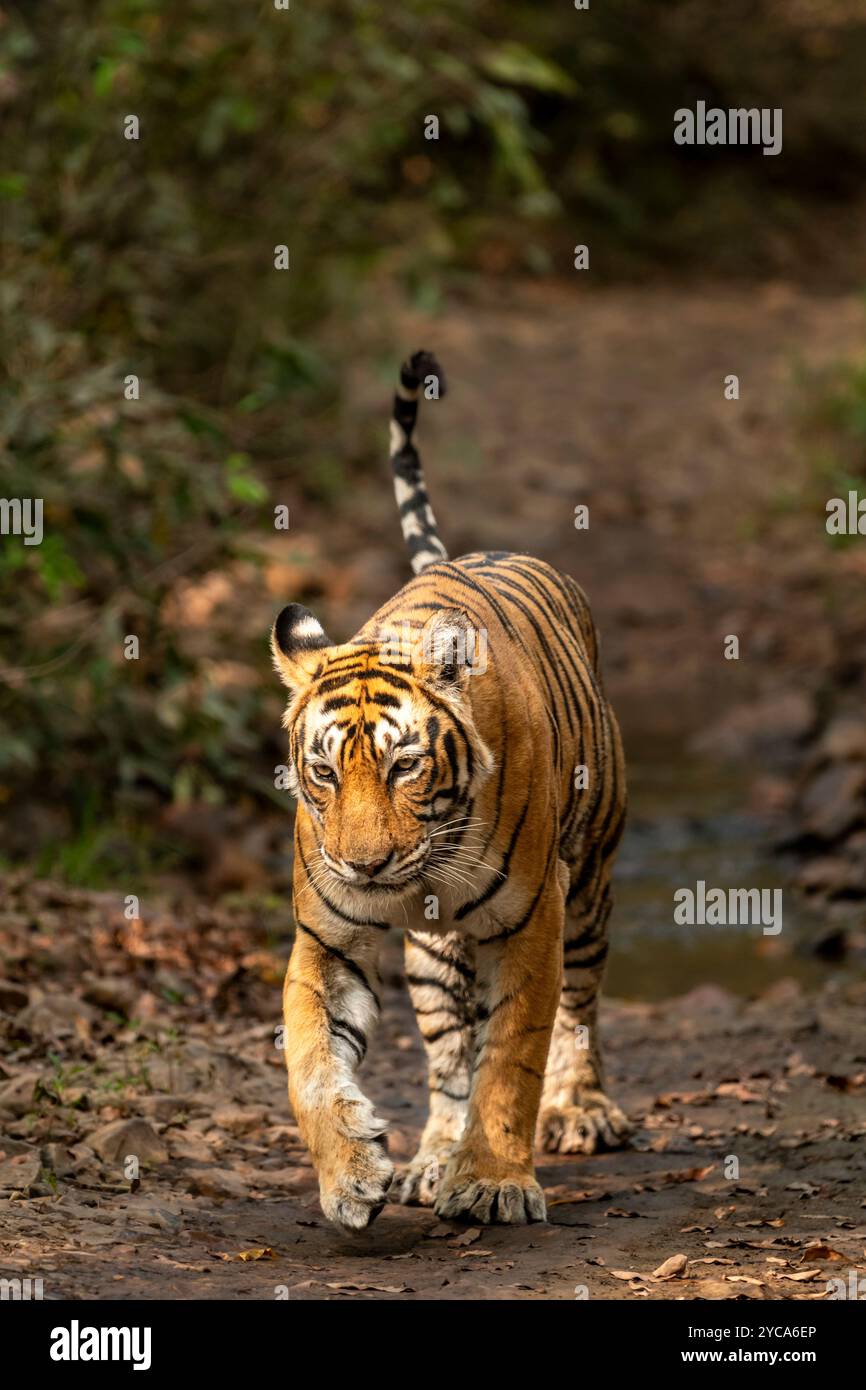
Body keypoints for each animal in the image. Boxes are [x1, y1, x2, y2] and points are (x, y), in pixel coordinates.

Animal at [271, 350, 630, 1231]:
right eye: (324, 771)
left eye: (404, 765)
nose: (365, 866)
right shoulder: (328, 936)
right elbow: (310, 1061)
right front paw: (351, 1174)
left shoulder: (535, 917)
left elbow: (513, 1054)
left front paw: (495, 1181)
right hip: (433, 957)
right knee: (446, 1055)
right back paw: (431, 1158)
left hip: (590, 885)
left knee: (579, 1006)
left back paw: (581, 1111)